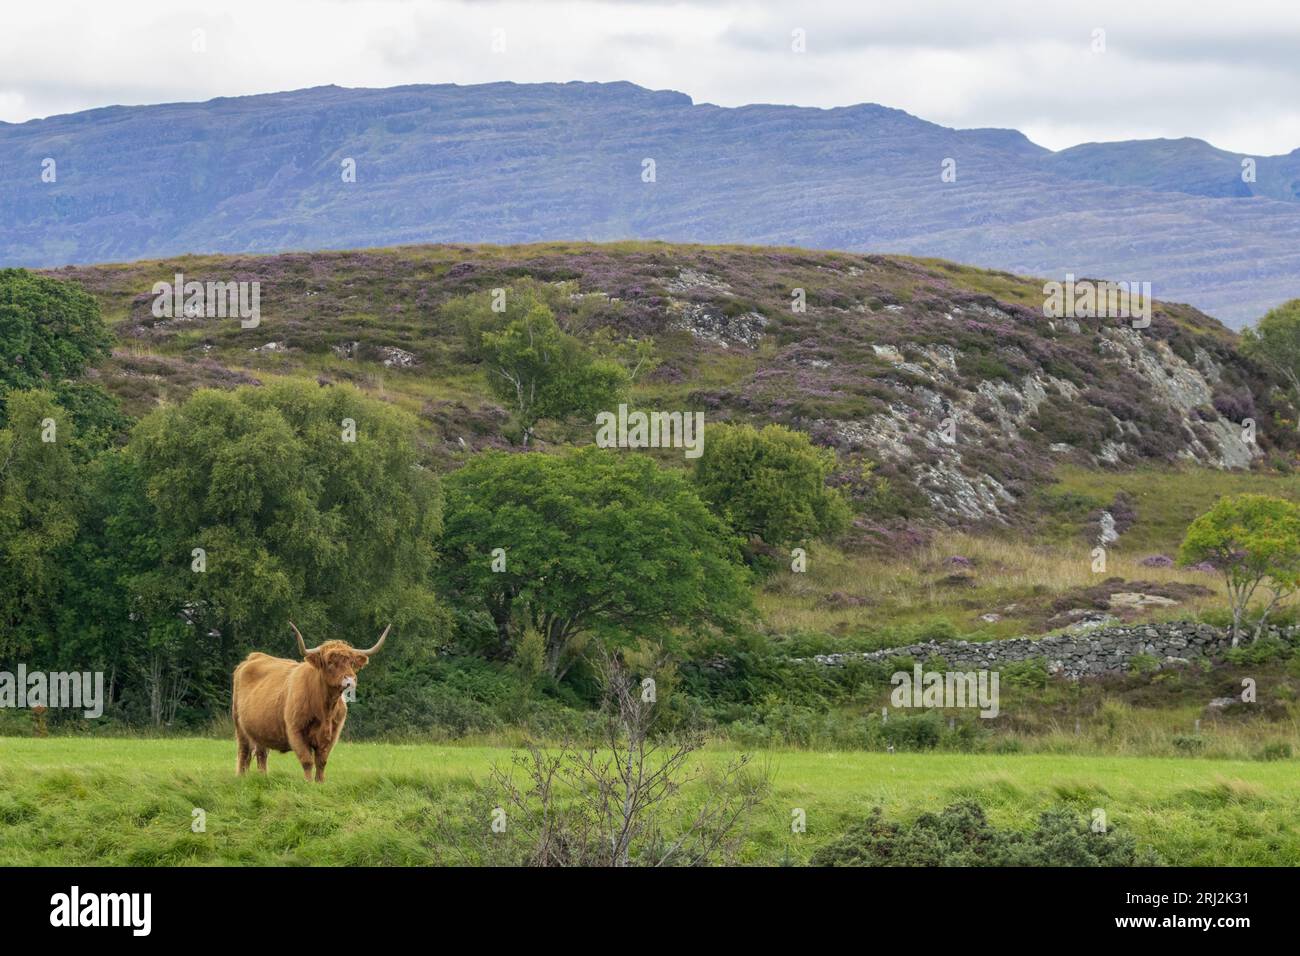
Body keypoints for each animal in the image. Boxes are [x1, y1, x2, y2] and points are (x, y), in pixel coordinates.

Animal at [232, 622, 390, 781]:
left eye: (351, 662)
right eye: (330, 662)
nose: (350, 680)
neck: (325, 709)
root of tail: (253, 657)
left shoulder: (332, 734)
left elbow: (322, 761)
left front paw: (320, 782)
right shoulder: (295, 731)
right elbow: (307, 760)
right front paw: (308, 782)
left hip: (260, 729)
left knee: (261, 754)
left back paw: (263, 777)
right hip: (240, 726)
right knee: (244, 752)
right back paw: (241, 777)